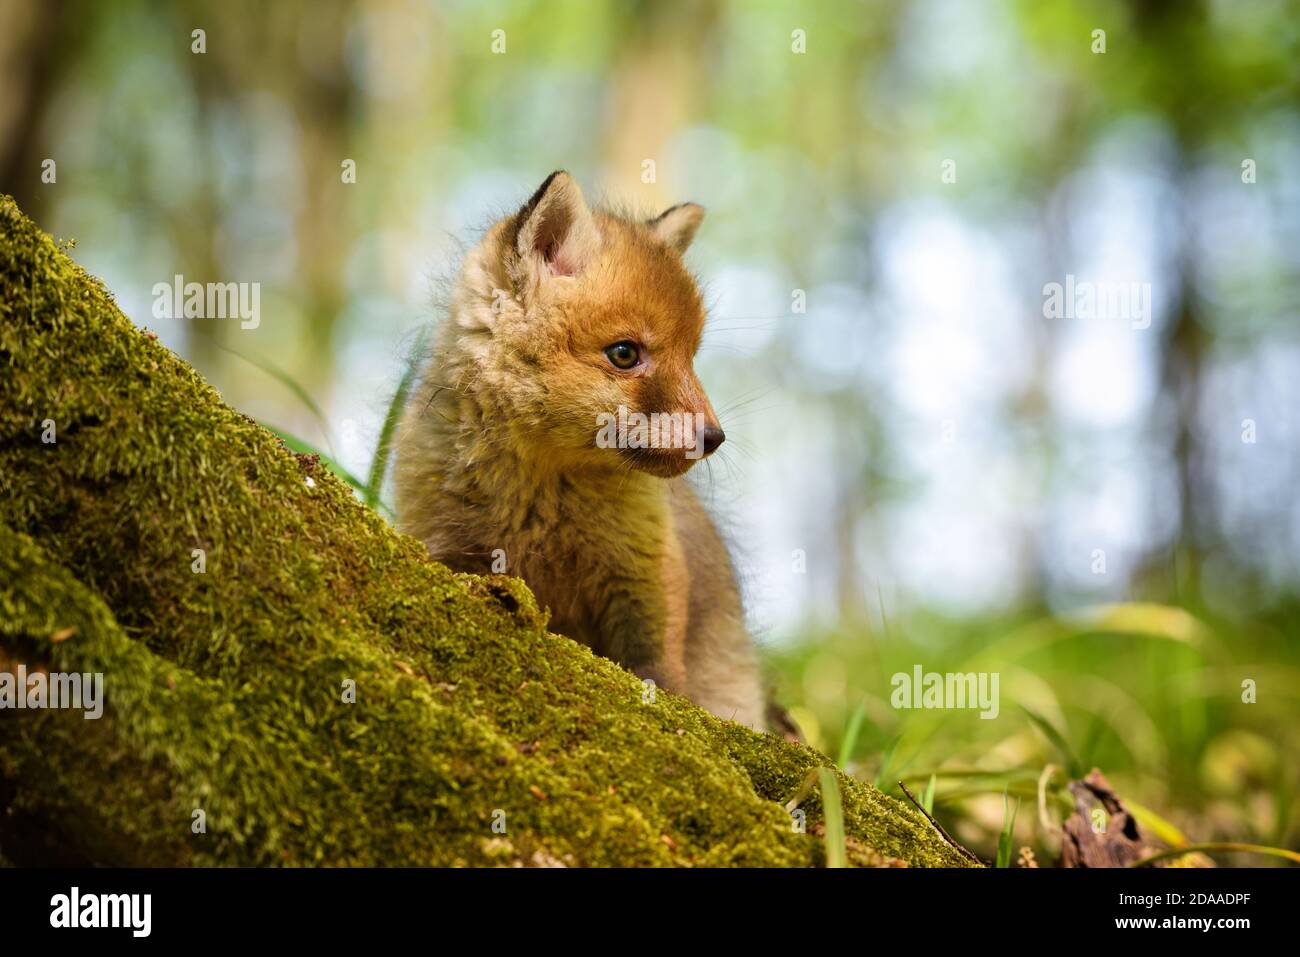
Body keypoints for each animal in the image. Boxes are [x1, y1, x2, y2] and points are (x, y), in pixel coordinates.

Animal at [392, 171, 766, 729]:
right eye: (625, 353)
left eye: (691, 357)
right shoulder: (448, 551)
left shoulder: (646, 575)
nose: (714, 438)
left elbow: (659, 675)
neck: (537, 495)